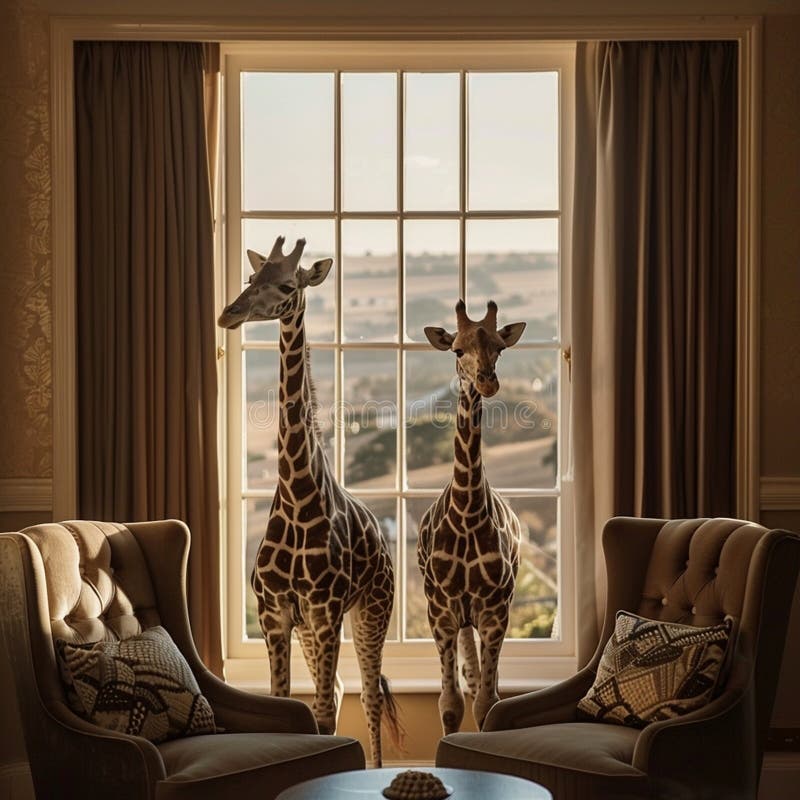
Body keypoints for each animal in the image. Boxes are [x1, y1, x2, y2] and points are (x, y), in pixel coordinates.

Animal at [218, 236, 402, 766]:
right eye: (250, 278)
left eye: (286, 285)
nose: (228, 313)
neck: (297, 499)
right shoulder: (276, 616)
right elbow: (286, 704)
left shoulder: (326, 613)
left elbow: (319, 713)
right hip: (314, 627)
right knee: (339, 690)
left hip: (371, 610)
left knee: (367, 694)